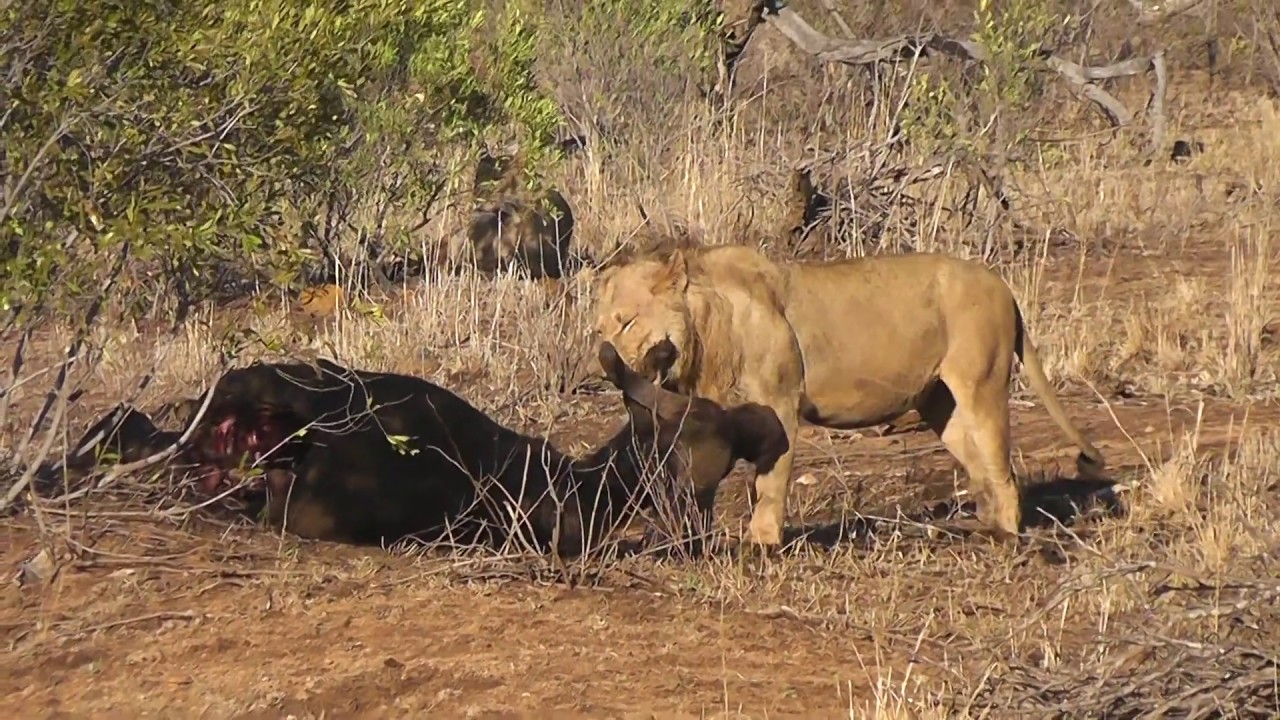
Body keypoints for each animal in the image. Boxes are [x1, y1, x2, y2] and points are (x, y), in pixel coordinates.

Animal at [592, 242, 1106, 547]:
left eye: (628, 322)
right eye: (602, 328)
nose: (605, 360)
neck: (707, 329)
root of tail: (1002, 284)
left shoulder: (780, 404)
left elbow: (769, 480)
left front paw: (762, 542)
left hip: (982, 385)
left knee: (1003, 469)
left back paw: (1006, 535)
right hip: (940, 405)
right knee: (978, 465)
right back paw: (977, 526)